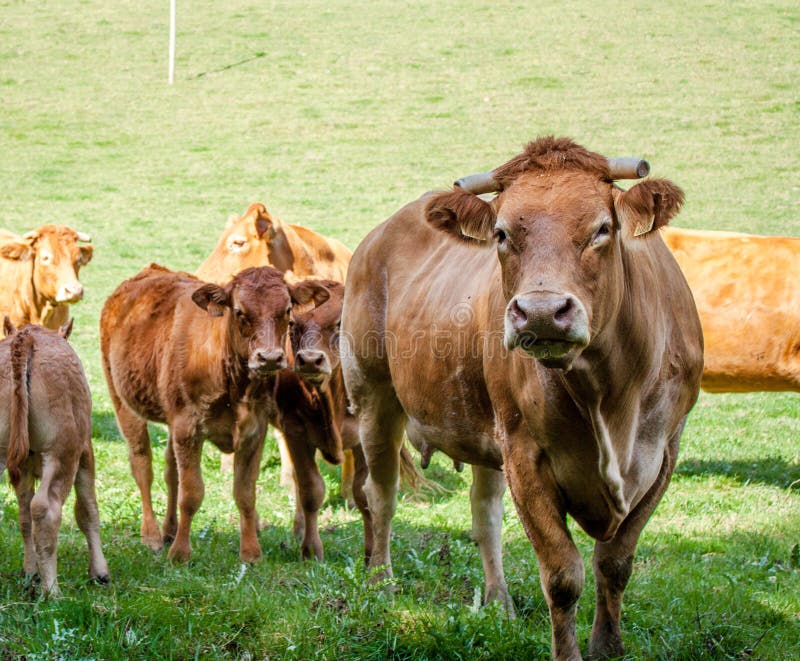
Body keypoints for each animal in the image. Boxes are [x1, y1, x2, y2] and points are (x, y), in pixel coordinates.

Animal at [0, 318, 109, 596]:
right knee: (46, 509)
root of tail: (26, 337)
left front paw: (30, 573)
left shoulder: (22, 469)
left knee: (32, 510)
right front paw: (100, 573)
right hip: (62, 454)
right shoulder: (85, 452)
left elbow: (23, 516)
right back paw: (52, 591)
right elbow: (88, 510)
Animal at [100, 264, 332, 564]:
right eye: (239, 311)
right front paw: (180, 554)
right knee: (142, 466)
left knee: (170, 471)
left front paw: (251, 553)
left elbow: (245, 493)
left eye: (288, 310)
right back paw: (151, 535)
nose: (269, 358)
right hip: (123, 401)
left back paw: (169, 529)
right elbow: (191, 493)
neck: (233, 382)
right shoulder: (188, 428)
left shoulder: (254, 430)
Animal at [341, 137, 703, 660]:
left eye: (602, 228)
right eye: (501, 233)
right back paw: (380, 582)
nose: (542, 312)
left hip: (483, 426)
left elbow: (615, 563)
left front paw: (607, 646)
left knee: (484, 511)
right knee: (382, 494)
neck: (610, 397)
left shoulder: (664, 453)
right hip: (373, 394)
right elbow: (563, 575)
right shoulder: (526, 455)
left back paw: (499, 600)